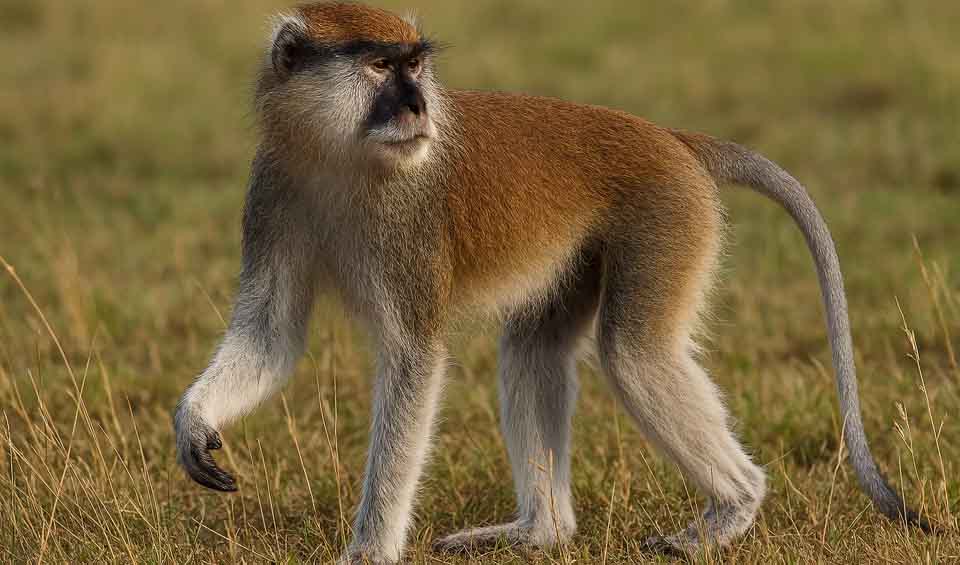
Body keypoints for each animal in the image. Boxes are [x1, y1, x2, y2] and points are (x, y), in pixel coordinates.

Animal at [172, 2, 928, 563]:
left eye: (415, 65)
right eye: (379, 65)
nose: (418, 107)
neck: (339, 155)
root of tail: (672, 140)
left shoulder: (407, 229)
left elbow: (414, 361)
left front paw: (370, 550)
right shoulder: (275, 191)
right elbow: (271, 339)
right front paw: (194, 422)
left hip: (667, 216)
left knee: (635, 353)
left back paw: (733, 507)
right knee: (535, 348)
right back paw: (541, 533)